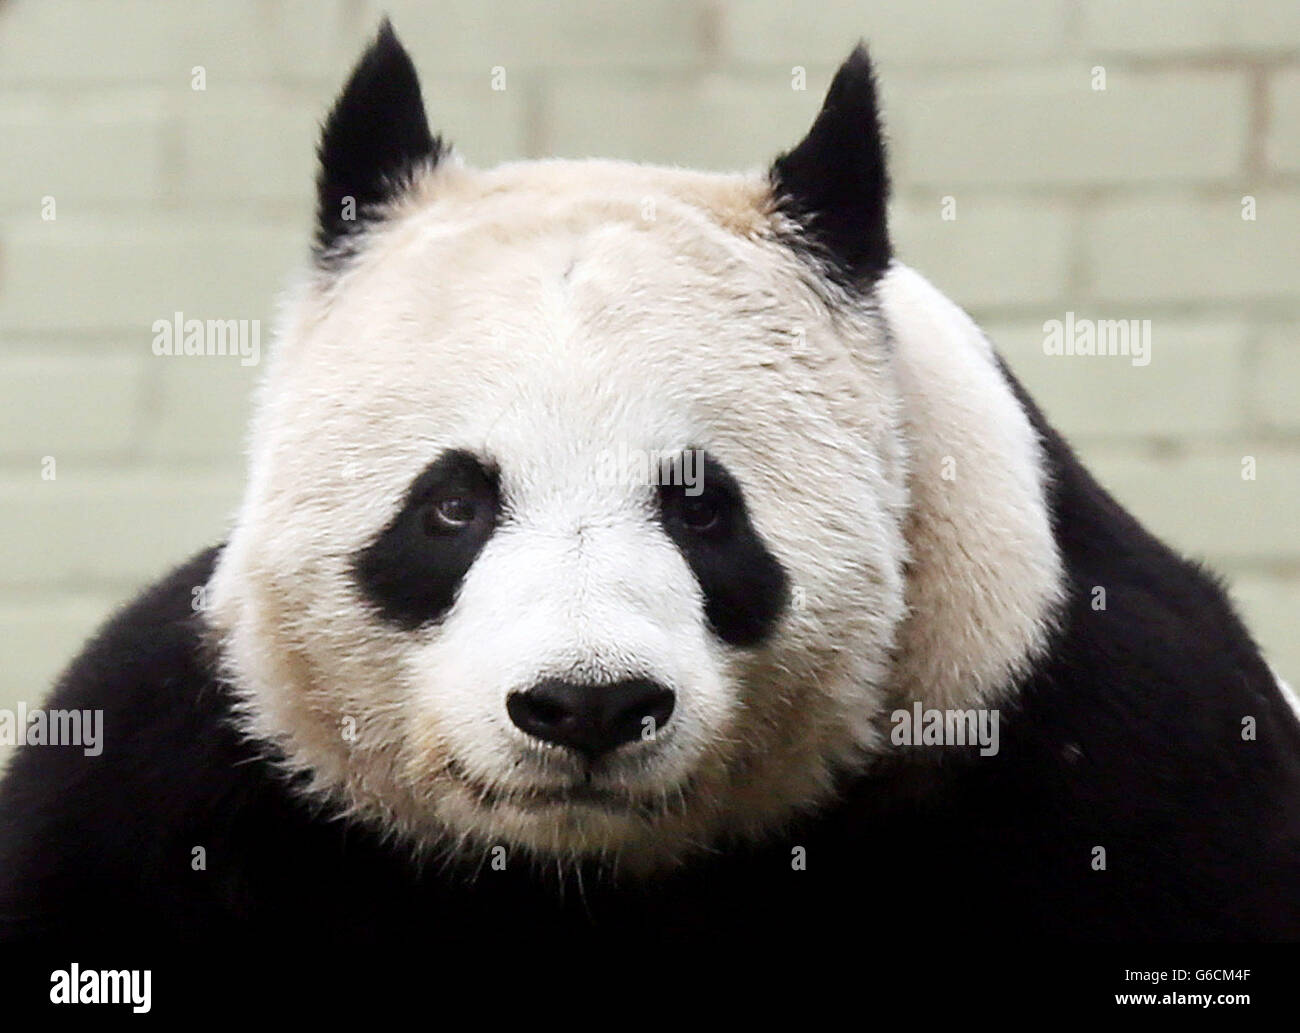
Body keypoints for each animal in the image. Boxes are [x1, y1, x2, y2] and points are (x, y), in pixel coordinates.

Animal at [2, 22, 1299, 962]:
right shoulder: (198, 775)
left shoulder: (1085, 741)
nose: (586, 705)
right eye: (453, 505)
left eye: (700, 506)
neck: (591, 865)